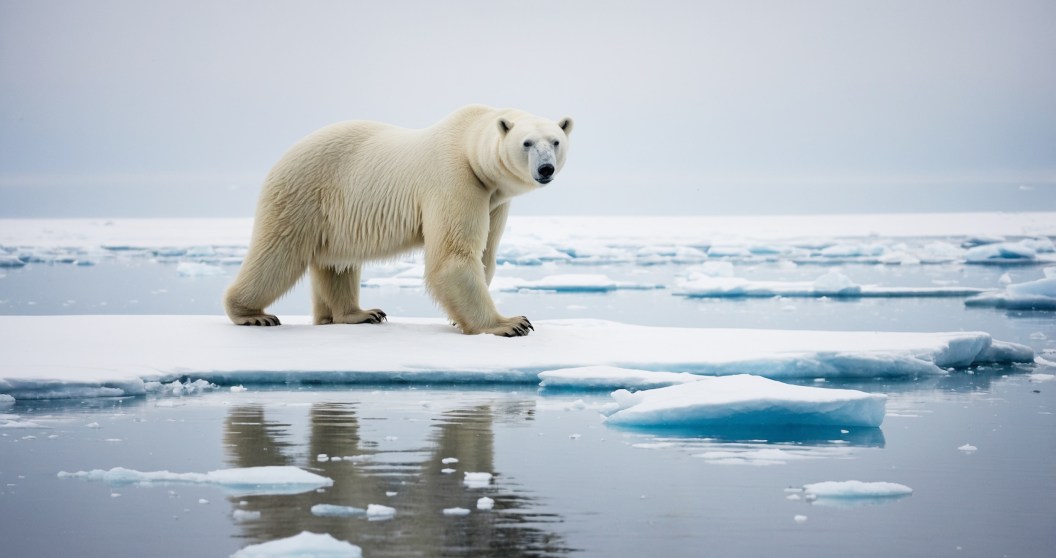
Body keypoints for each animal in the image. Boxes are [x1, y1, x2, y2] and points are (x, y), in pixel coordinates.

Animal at [224, 105, 573, 336]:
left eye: (556, 141)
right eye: (527, 143)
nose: (545, 169)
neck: (468, 144)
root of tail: (282, 159)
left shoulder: (494, 200)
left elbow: (485, 253)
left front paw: (457, 318)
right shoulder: (456, 179)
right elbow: (453, 256)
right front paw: (510, 323)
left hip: (333, 216)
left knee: (337, 263)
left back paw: (357, 314)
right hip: (303, 194)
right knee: (278, 255)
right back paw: (252, 314)